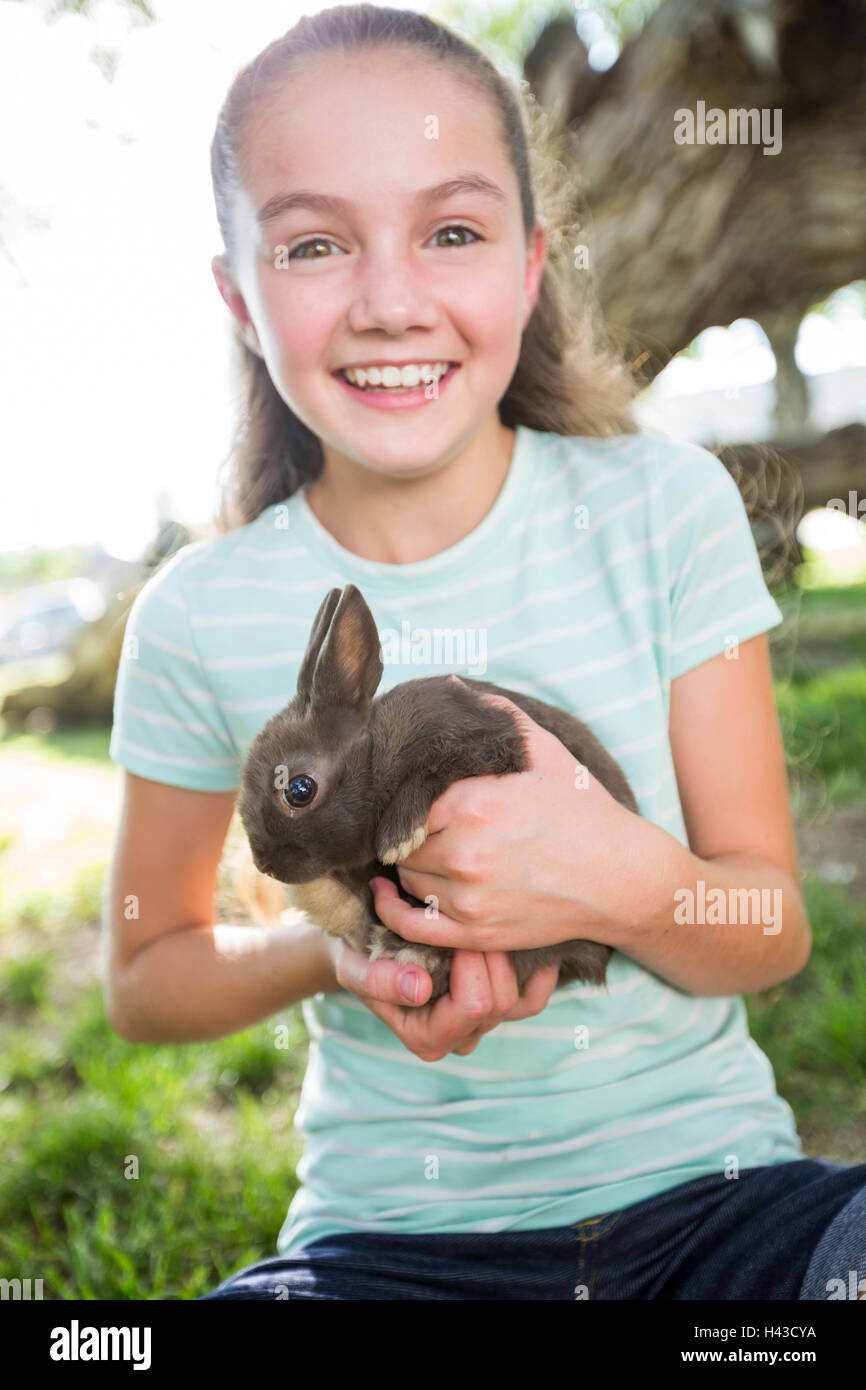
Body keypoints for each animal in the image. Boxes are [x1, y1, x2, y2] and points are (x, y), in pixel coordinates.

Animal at [238, 583, 639, 1001]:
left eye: (299, 790)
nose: (265, 865)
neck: (377, 754)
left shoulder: (491, 744)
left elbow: (433, 769)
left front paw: (398, 837)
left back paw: (409, 950)